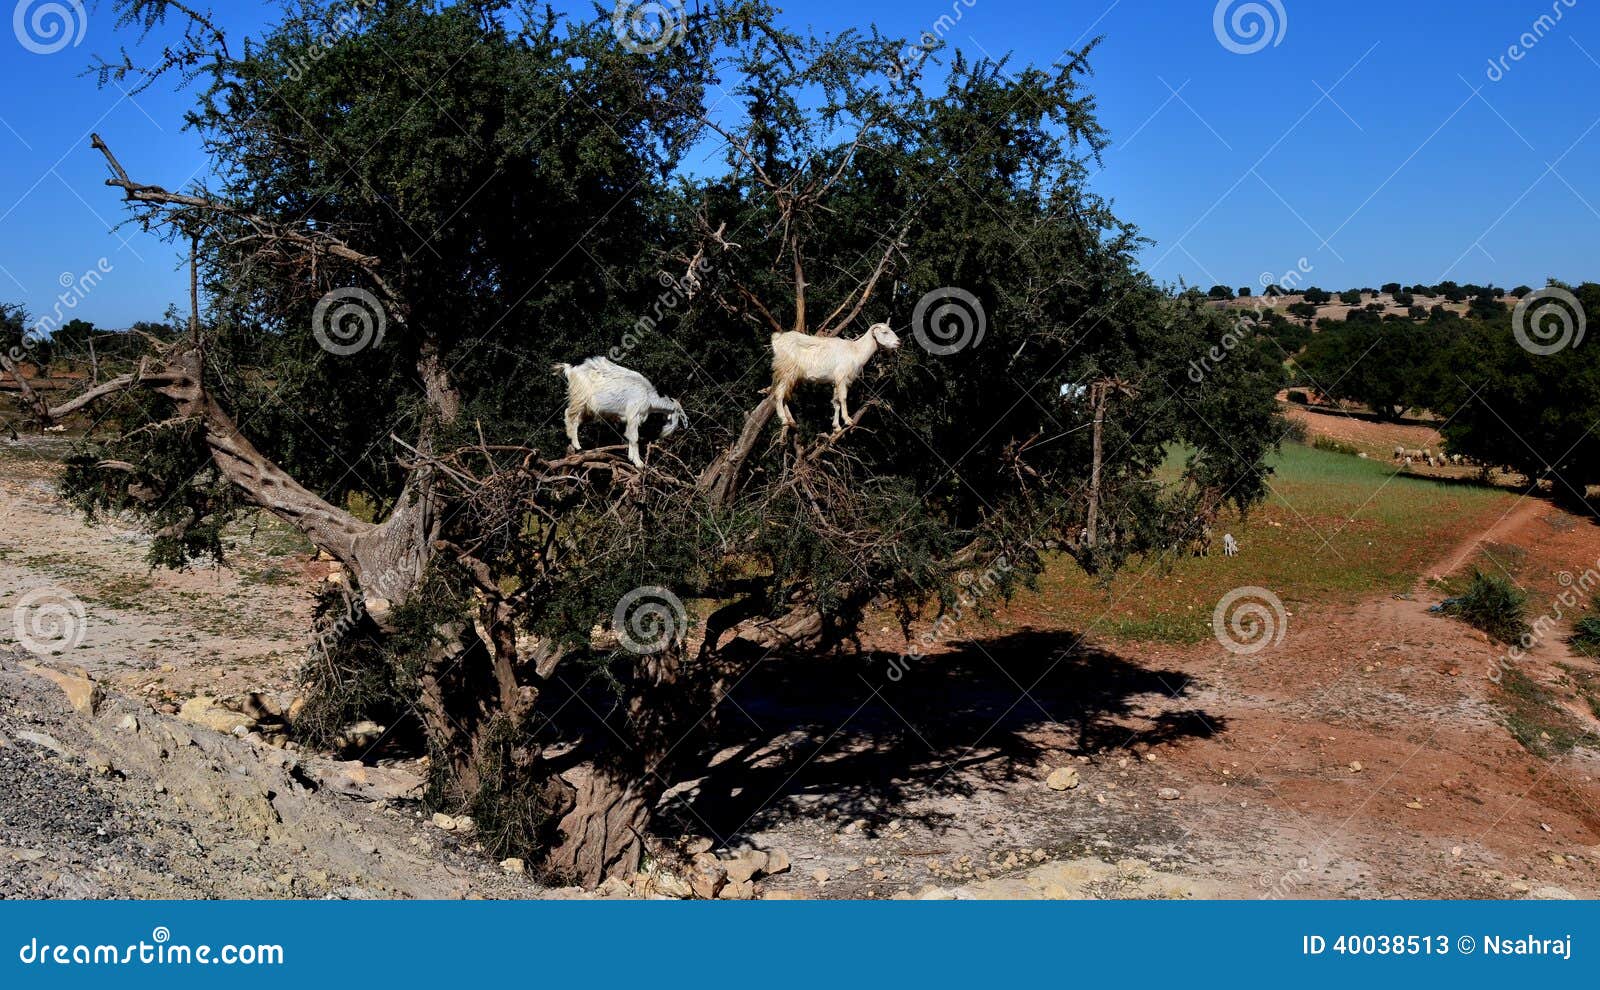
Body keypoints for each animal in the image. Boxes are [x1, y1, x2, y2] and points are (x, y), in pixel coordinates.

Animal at [553, 357, 686, 468]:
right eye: (679, 414)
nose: (668, 432)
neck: (649, 397)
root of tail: (571, 370)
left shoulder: (632, 419)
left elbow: (630, 436)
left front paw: (631, 458)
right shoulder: (634, 414)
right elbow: (634, 438)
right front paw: (639, 463)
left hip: (587, 410)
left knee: (575, 419)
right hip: (579, 398)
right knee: (569, 415)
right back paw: (577, 445)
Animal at [769, 323, 901, 430]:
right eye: (885, 332)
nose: (899, 342)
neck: (856, 350)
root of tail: (777, 340)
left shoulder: (836, 380)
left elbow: (836, 402)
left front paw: (836, 426)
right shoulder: (842, 376)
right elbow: (843, 398)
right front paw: (848, 420)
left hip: (794, 376)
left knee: (785, 396)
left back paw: (791, 421)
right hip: (787, 370)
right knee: (779, 394)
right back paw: (784, 419)